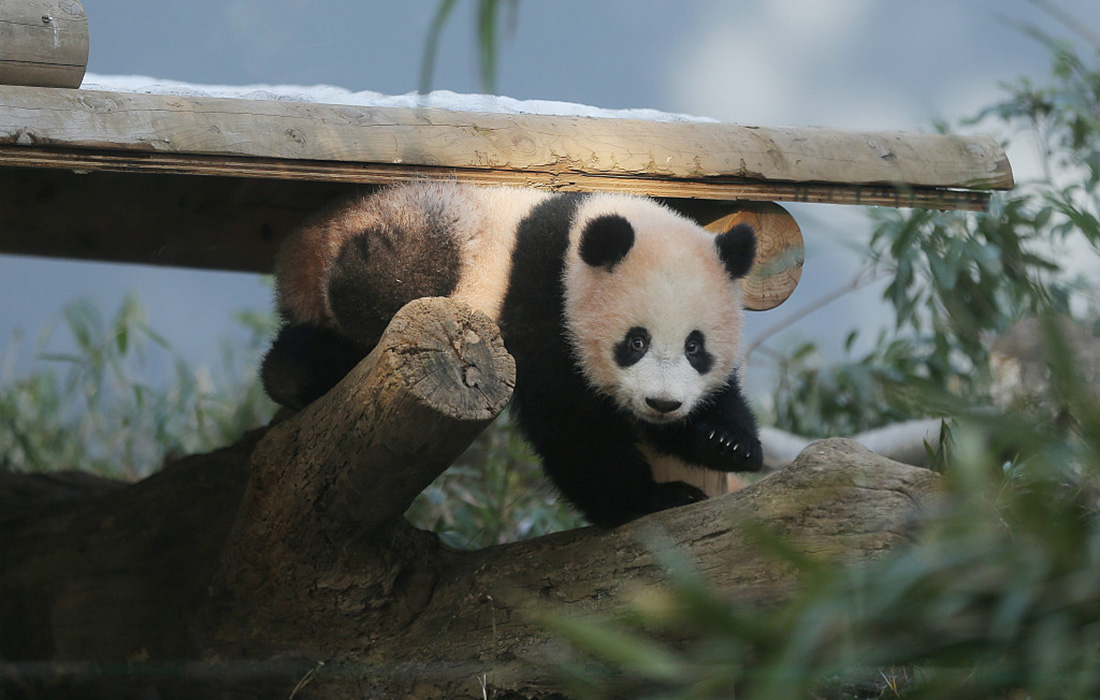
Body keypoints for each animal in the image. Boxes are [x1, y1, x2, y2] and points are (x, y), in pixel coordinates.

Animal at [262, 181, 763, 527]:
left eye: (695, 346)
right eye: (635, 342)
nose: (662, 403)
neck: (574, 245)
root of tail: (295, 249)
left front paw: (726, 442)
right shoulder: (543, 307)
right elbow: (572, 427)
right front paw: (652, 500)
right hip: (408, 227)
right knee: (378, 282)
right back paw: (297, 377)